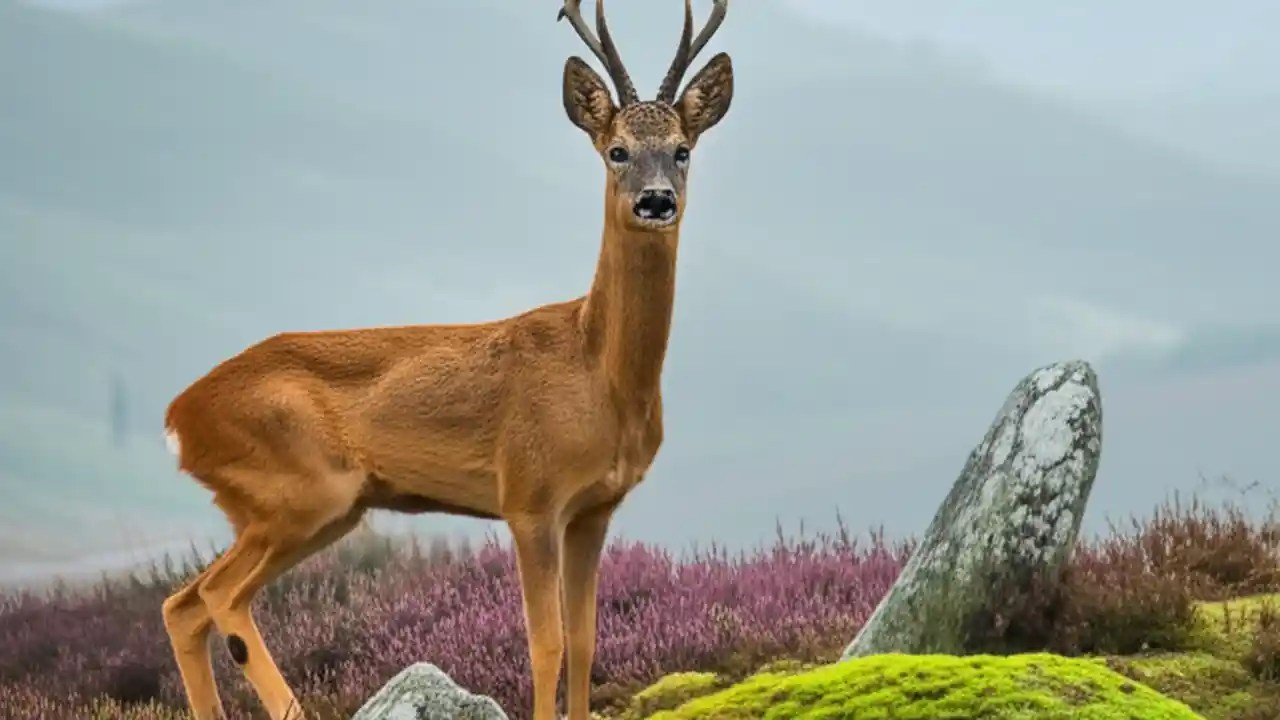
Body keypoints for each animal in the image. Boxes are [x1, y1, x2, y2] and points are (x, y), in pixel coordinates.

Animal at [158, 1, 732, 719]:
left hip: (305, 509)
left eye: (683, 150)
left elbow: (586, 639)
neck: (599, 375)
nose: (656, 200)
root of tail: (179, 416)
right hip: (296, 490)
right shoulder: (529, 496)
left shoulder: (594, 509)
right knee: (218, 597)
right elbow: (546, 642)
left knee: (181, 603)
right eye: (616, 150)